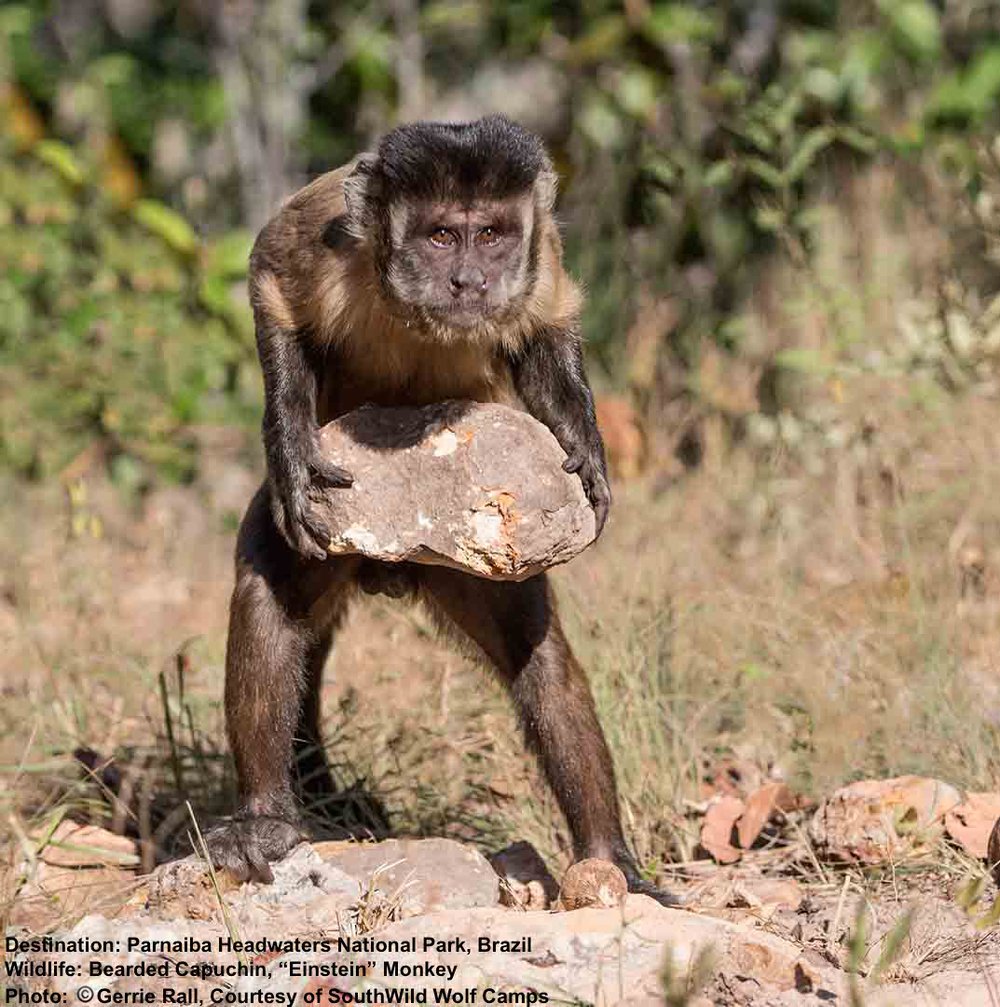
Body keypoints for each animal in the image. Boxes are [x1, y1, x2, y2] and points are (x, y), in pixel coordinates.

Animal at [203, 115, 669, 903]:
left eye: (492, 235)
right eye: (442, 236)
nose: (470, 280)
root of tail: (394, 568)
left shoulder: (541, 256)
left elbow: (547, 325)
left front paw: (586, 443)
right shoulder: (331, 230)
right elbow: (271, 283)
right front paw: (291, 446)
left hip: (473, 564)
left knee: (539, 658)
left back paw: (610, 858)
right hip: (344, 540)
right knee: (271, 588)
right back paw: (266, 818)